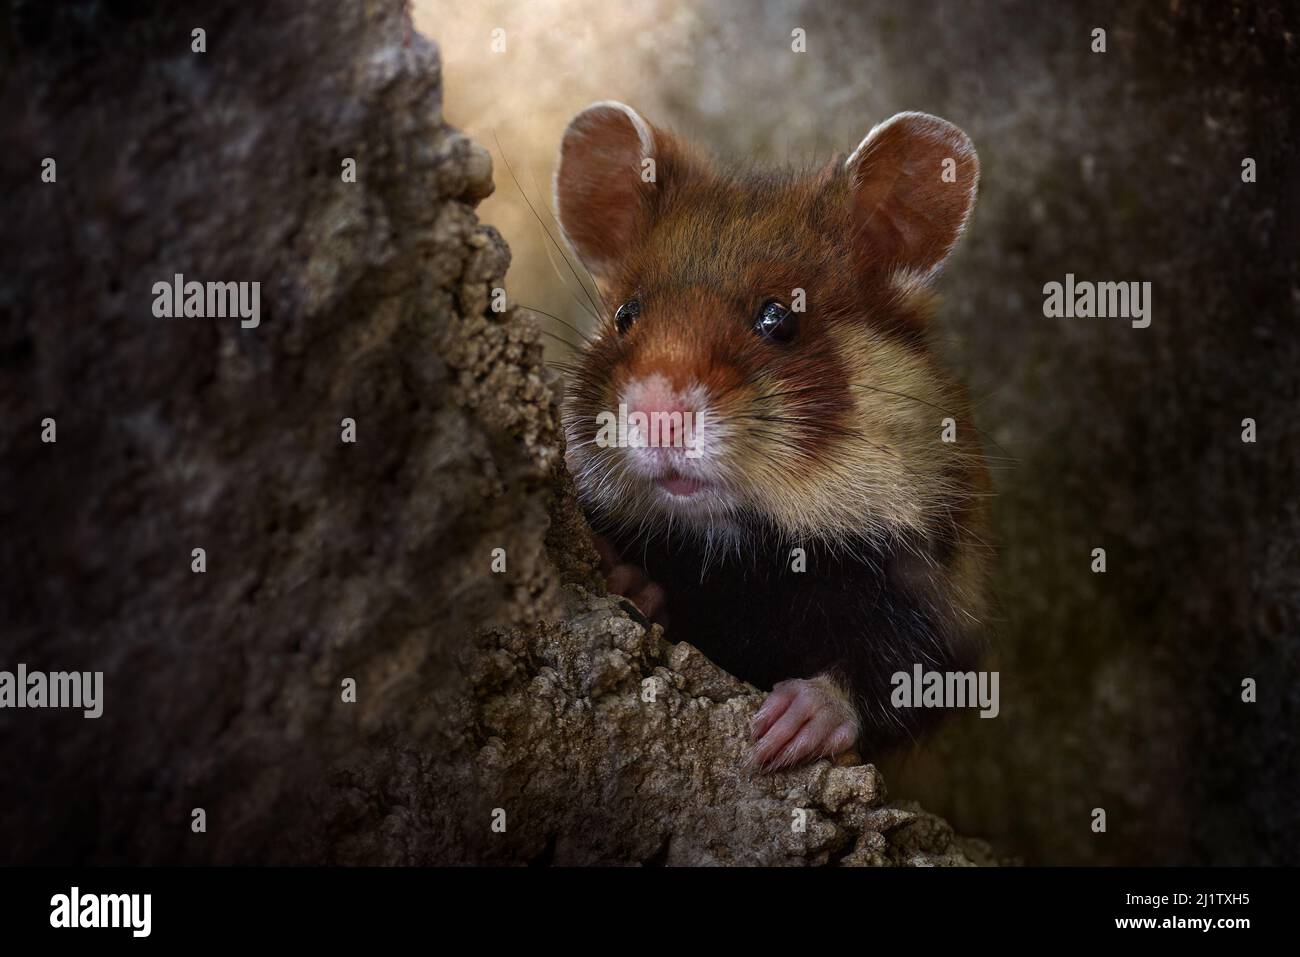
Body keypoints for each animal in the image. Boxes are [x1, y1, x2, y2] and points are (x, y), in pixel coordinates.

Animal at [553, 101, 993, 770]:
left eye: (778, 319)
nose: (656, 414)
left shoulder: (939, 602)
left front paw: (784, 730)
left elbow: (894, 673)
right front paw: (625, 581)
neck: (736, 542)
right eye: (626, 315)